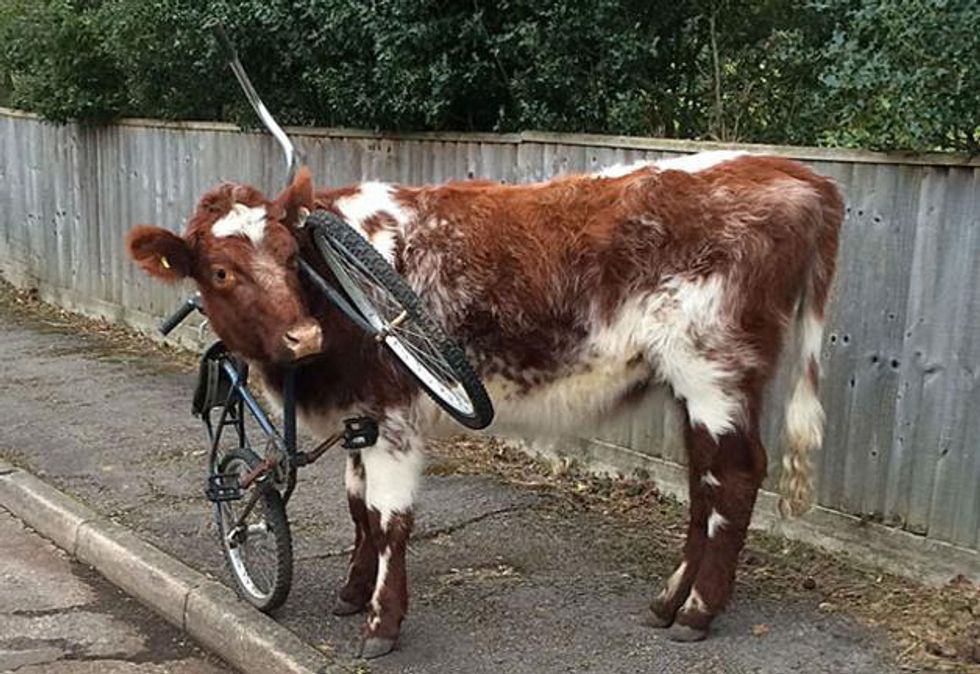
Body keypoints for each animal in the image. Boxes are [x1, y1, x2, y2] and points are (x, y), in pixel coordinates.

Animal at [127, 150, 843, 658]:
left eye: (287, 254)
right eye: (221, 272)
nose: (303, 335)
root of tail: (790, 172)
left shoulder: (391, 415)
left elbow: (388, 520)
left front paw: (382, 622)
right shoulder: (361, 415)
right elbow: (358, 510)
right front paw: (352, 594)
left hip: (715, 370)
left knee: (737, 477)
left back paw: (697, 612)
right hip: (693, 385)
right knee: (705, 483)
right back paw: (669, 602)